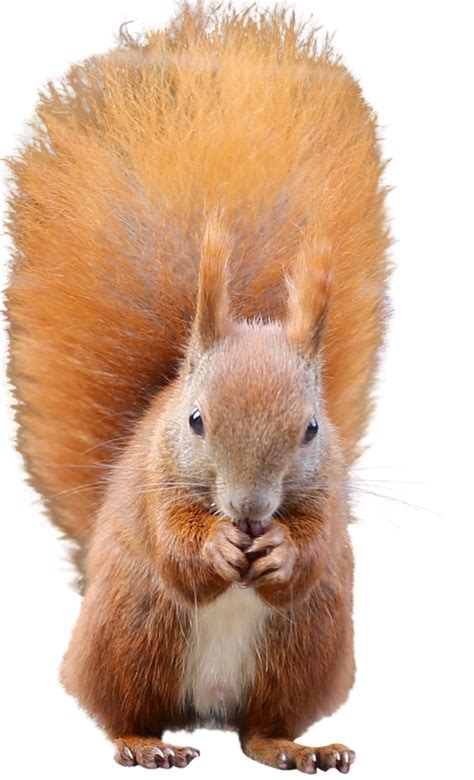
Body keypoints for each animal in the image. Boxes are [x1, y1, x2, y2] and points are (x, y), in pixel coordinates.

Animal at [5, 4, 390, 774]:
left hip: (300, 651)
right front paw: (213, 549)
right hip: (134, 634)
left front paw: (281, 551)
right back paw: (144, 744)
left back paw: (299, 747)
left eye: (311, 427)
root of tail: (206, 708)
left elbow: (312, 552)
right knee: (122, 709)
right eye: (195, 421)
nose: (249, 512)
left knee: (257, 730)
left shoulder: (328, 489)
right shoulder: (154, 482)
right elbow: (175, 548)